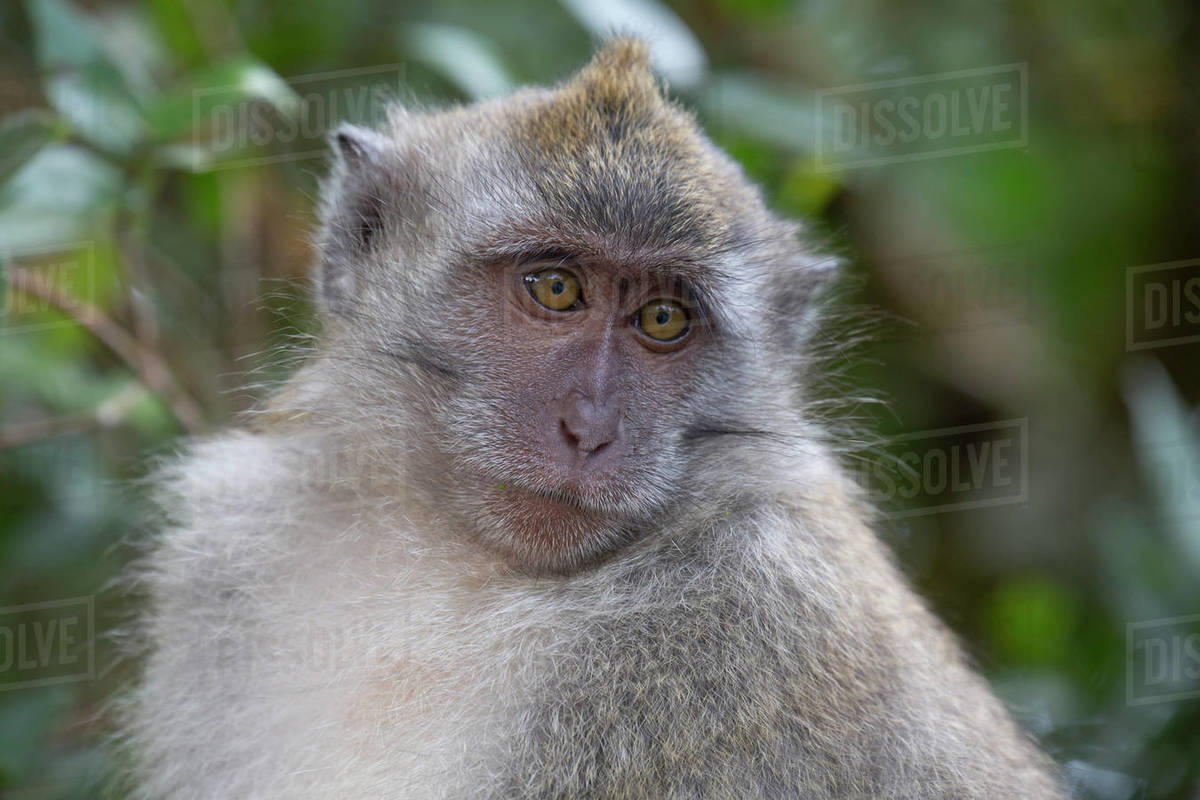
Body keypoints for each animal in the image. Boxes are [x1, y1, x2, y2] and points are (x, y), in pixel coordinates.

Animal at [121, 39, 1068, 799]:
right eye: (555, 288)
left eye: (663, 319)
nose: (589, 428)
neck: (465, 569)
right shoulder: (235, 544)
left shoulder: (736, 619)